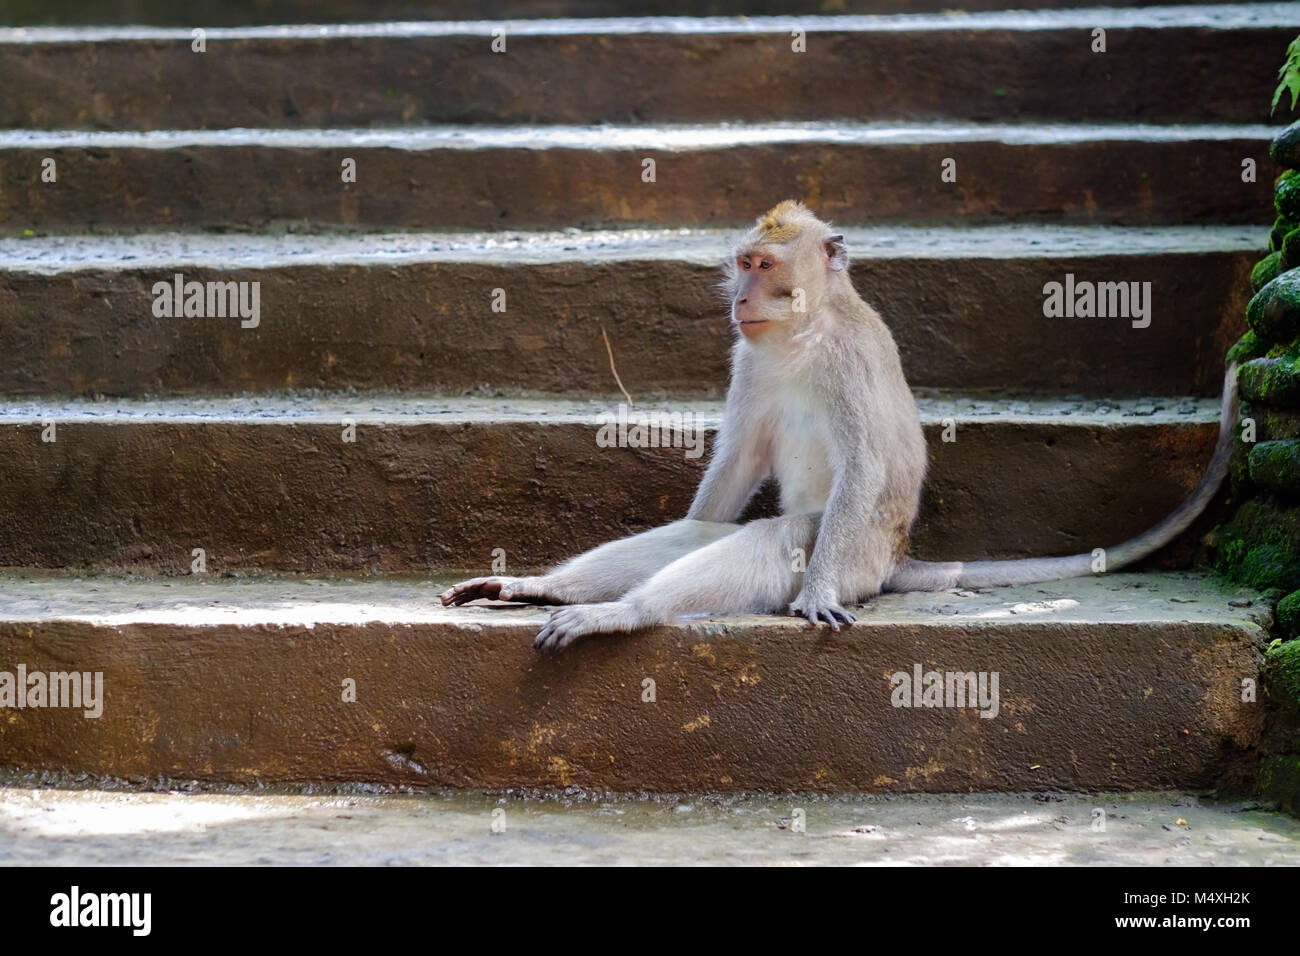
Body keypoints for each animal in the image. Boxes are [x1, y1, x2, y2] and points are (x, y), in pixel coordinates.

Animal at [441, 200, 1239, 652]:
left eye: (766, 265)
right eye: (742, 263)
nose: (740, 297)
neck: (804, 333)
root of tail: (898, 558)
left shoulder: (848, 363)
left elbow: (863, 469)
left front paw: (815, 595)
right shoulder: (749, 356)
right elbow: (732, 470)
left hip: (858, 555)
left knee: (780, 538)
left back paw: (626, 613)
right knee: (701, 537)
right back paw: (543, 590)